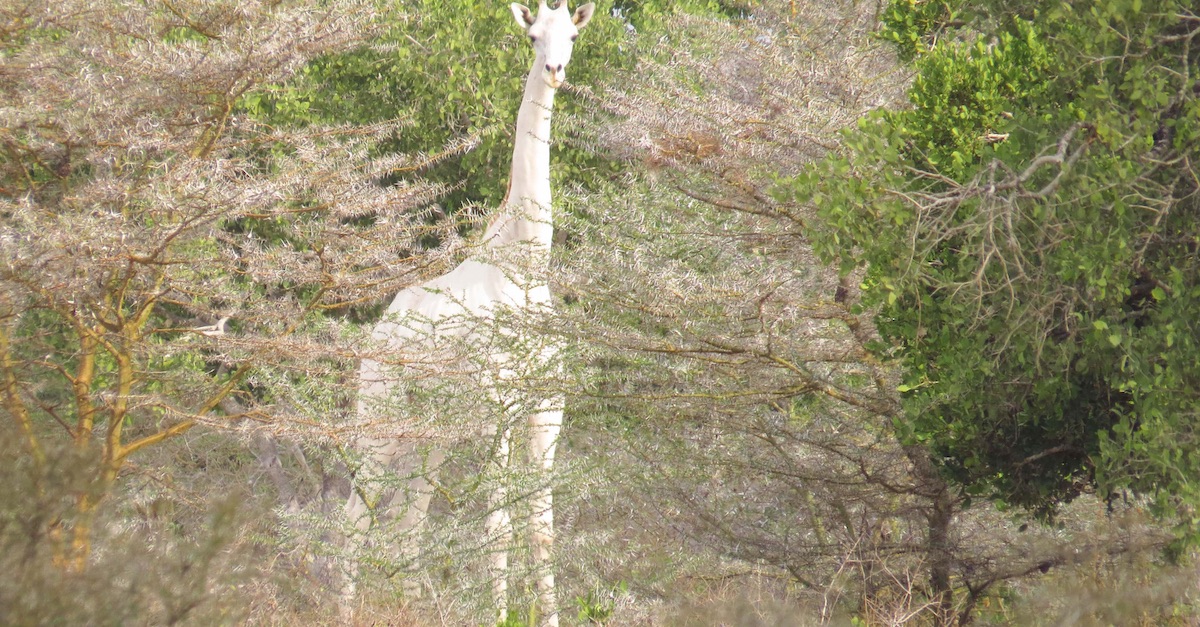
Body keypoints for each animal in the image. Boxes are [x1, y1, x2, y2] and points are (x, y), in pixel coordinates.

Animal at [342, 2, 594, 625]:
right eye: (532, 36)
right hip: (380, 415)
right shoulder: (497, 406)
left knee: (407, 523)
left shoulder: (546, 409)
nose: (554, 71)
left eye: (572, 36)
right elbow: (498, 526)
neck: (523, 270)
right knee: (356, 516)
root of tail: (379, 330)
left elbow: (541, 529)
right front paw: (497, 613)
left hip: (432, 430)